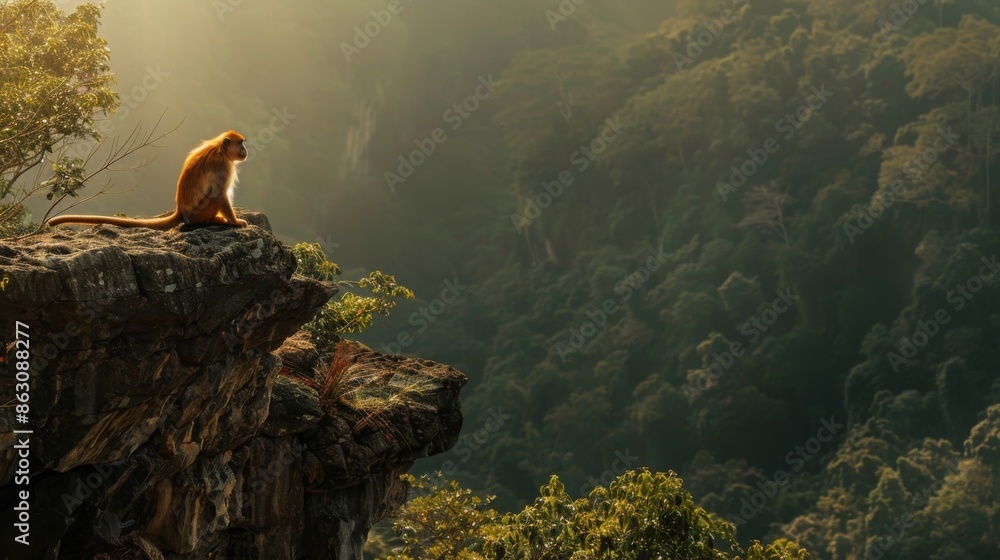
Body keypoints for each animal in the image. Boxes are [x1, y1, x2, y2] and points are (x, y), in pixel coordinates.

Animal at [47, 130, 250, 230]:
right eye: (241, 143)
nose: (245, 150)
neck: (220, 149)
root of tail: (180, 211)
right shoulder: (223, 166)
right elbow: (220, 194)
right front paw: (235, 222)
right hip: (200, 213)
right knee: (213, 198)